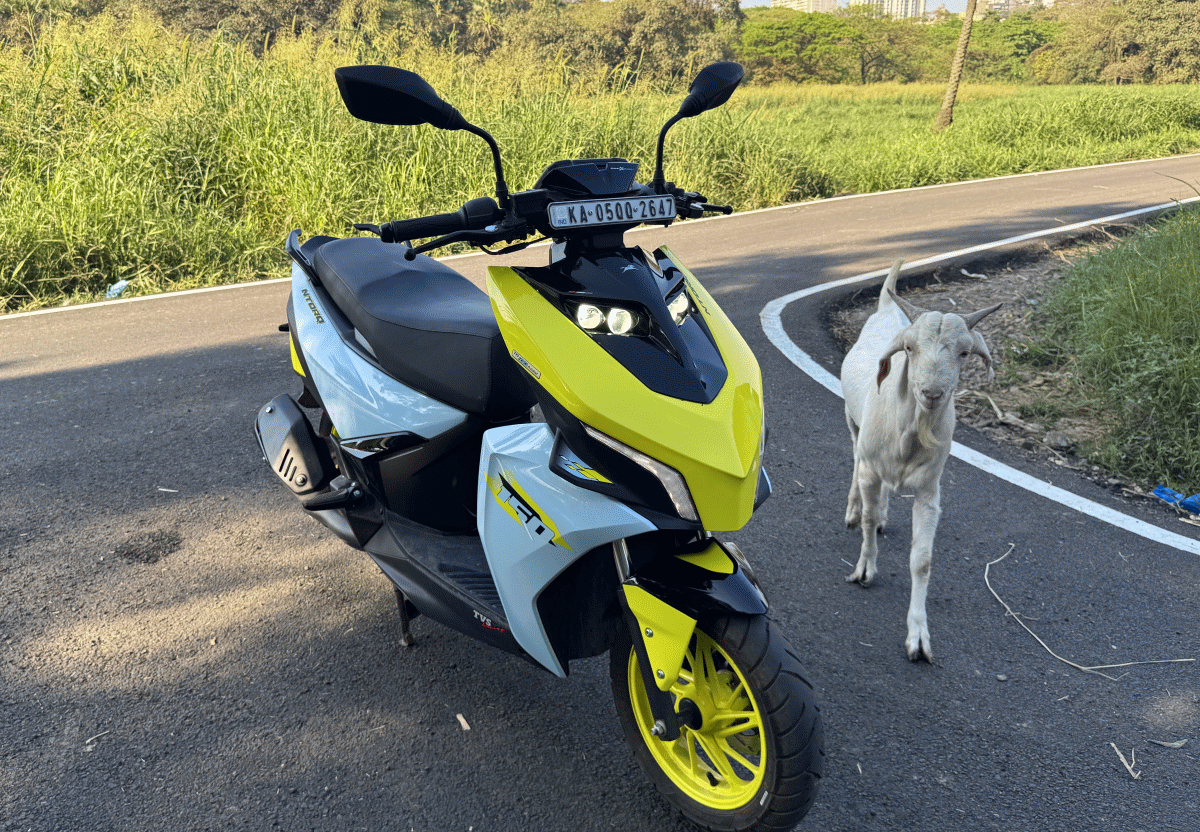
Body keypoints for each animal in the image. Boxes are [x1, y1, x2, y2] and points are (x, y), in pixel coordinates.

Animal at [840, 261, 1000, 662]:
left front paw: (919, 636)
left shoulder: (930, 490)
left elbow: (923, 559)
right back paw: (854, 509)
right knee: (854, 458)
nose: (931, 393)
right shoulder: (870, 469)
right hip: (852, 424)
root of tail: (886, 307)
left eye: (963, 353)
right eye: (910, 348)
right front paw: (864, 570)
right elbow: (866, 520)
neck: (909, 434)